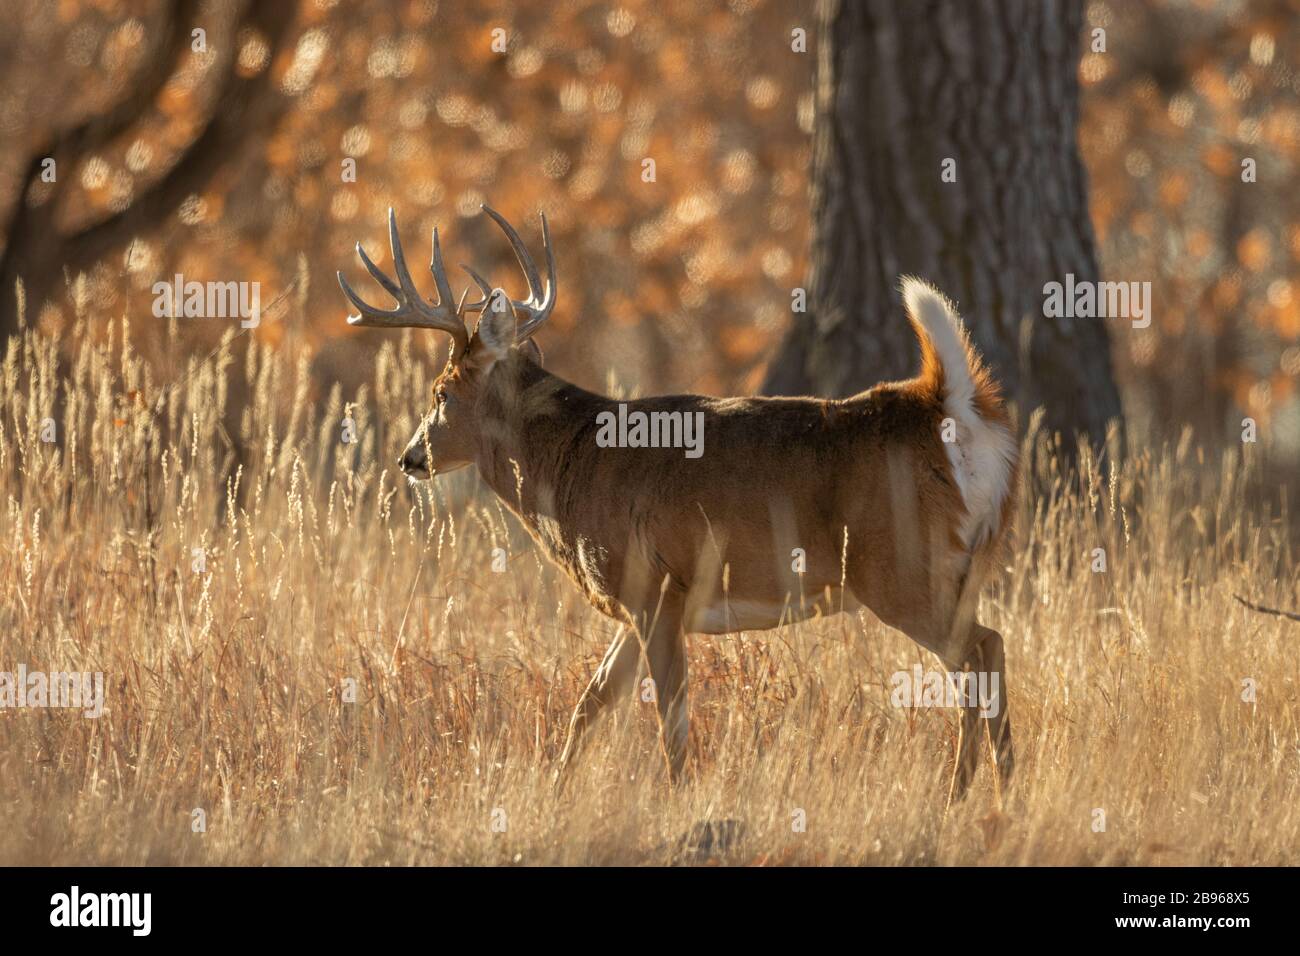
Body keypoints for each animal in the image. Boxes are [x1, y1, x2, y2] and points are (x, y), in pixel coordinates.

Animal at [338, 206, 1018, 803]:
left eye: (441, 391)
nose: (410, 458)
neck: (572, 465)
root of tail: (947, 408)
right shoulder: (636, 599)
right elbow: (590, 702)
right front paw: (554, 796)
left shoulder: (655, 585)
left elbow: (670, 716)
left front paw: (681, 802)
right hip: (965, 565)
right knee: (982, 658)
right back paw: (990, 794)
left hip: (901, 568)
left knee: (980, 651)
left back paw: (971, 796)